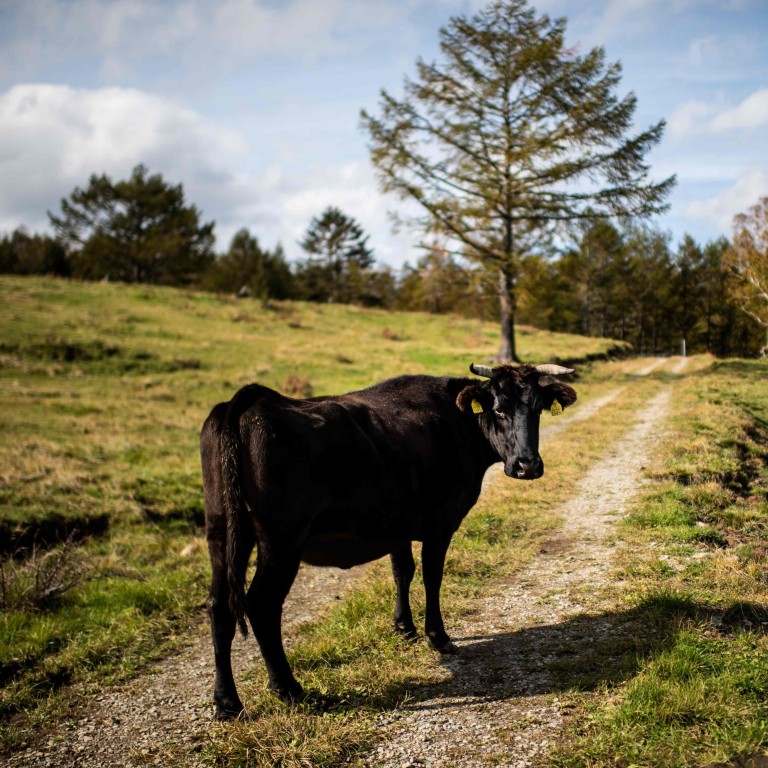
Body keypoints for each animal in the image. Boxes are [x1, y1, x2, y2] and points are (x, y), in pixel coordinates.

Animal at [200, 362, 576, 719]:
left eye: (538, 408)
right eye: (498, 409)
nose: (527, 465)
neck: (457, 424)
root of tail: (253, 400)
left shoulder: (397, 523)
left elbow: (402, 572)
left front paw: (404, 627)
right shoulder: (440, 523)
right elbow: (431, 577)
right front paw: (438, 636)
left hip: (222, 533)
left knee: (219, 607)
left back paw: (227, 702)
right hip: (281, 542)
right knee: (261, 604)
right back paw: (288, 688)